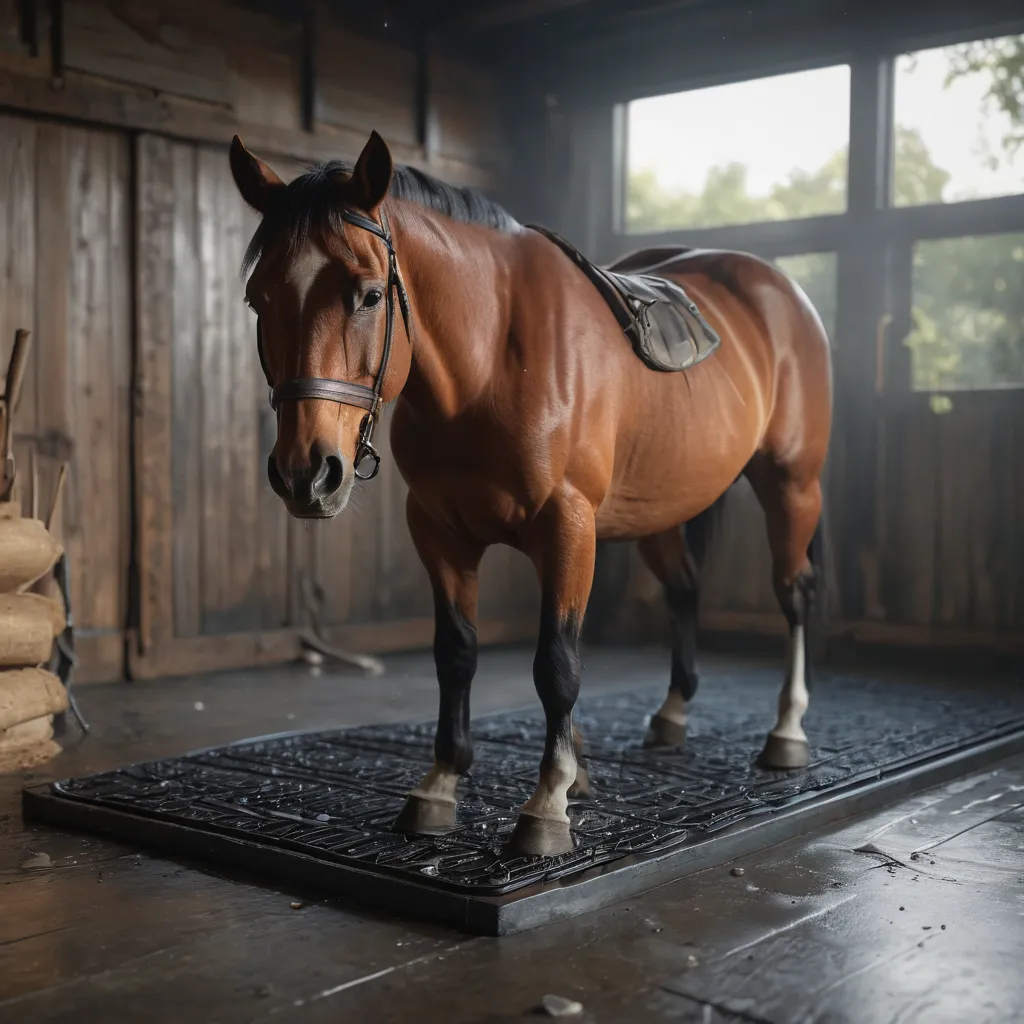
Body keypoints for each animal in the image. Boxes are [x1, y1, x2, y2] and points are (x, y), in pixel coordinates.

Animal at [229, 129, 832, 858]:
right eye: (259, 299)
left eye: (369, 295)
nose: (305, 472)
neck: (491, 359)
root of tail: (781, 291)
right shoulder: (438, 531)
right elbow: (456, 653)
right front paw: (441, 785)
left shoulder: (567, 527)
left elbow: (556, 665)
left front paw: (549, 803)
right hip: (660, 507)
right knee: (685, 590)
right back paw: (672, 715)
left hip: (791, 485)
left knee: (793, 593)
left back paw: (787, 732)